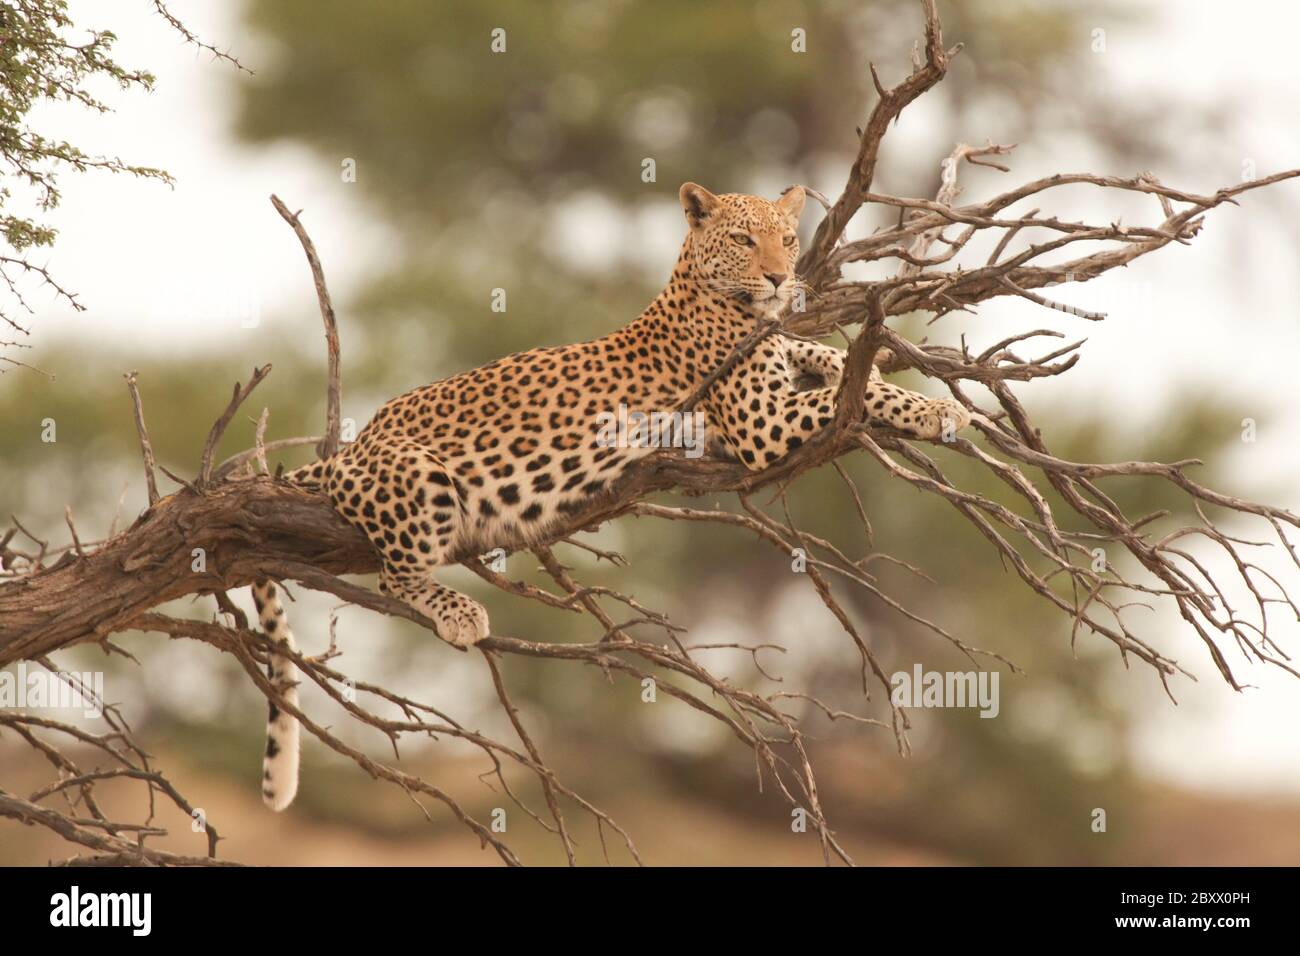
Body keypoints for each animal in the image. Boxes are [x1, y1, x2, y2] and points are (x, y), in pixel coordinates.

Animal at [252, 181, 971, 810]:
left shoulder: (783, 361)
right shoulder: (760, 422)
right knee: (394, 574)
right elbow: (845, 394)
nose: (777, 279)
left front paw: (890, 377)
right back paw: (459, 612)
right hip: (418, 474)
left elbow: (829, 359)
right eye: (744, 239)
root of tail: (354, 443)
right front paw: (936, 409)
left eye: (789, 239)